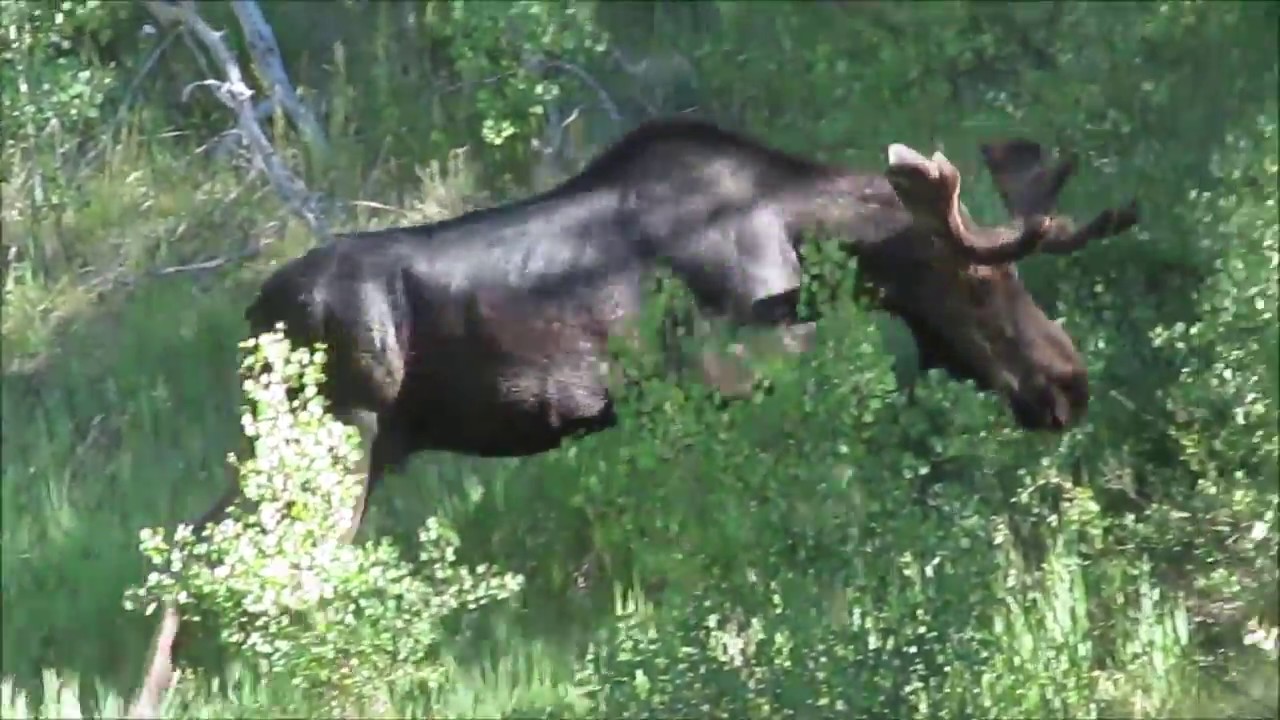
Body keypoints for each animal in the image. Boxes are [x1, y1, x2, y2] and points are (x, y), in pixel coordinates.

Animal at [128, 117, 1138, 717]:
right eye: (980, 277)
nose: (1068, 382)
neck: (801, 238)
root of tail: (254, 311)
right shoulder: (730, 369)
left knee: (204, 547)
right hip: (327, 441)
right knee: (233, 557)